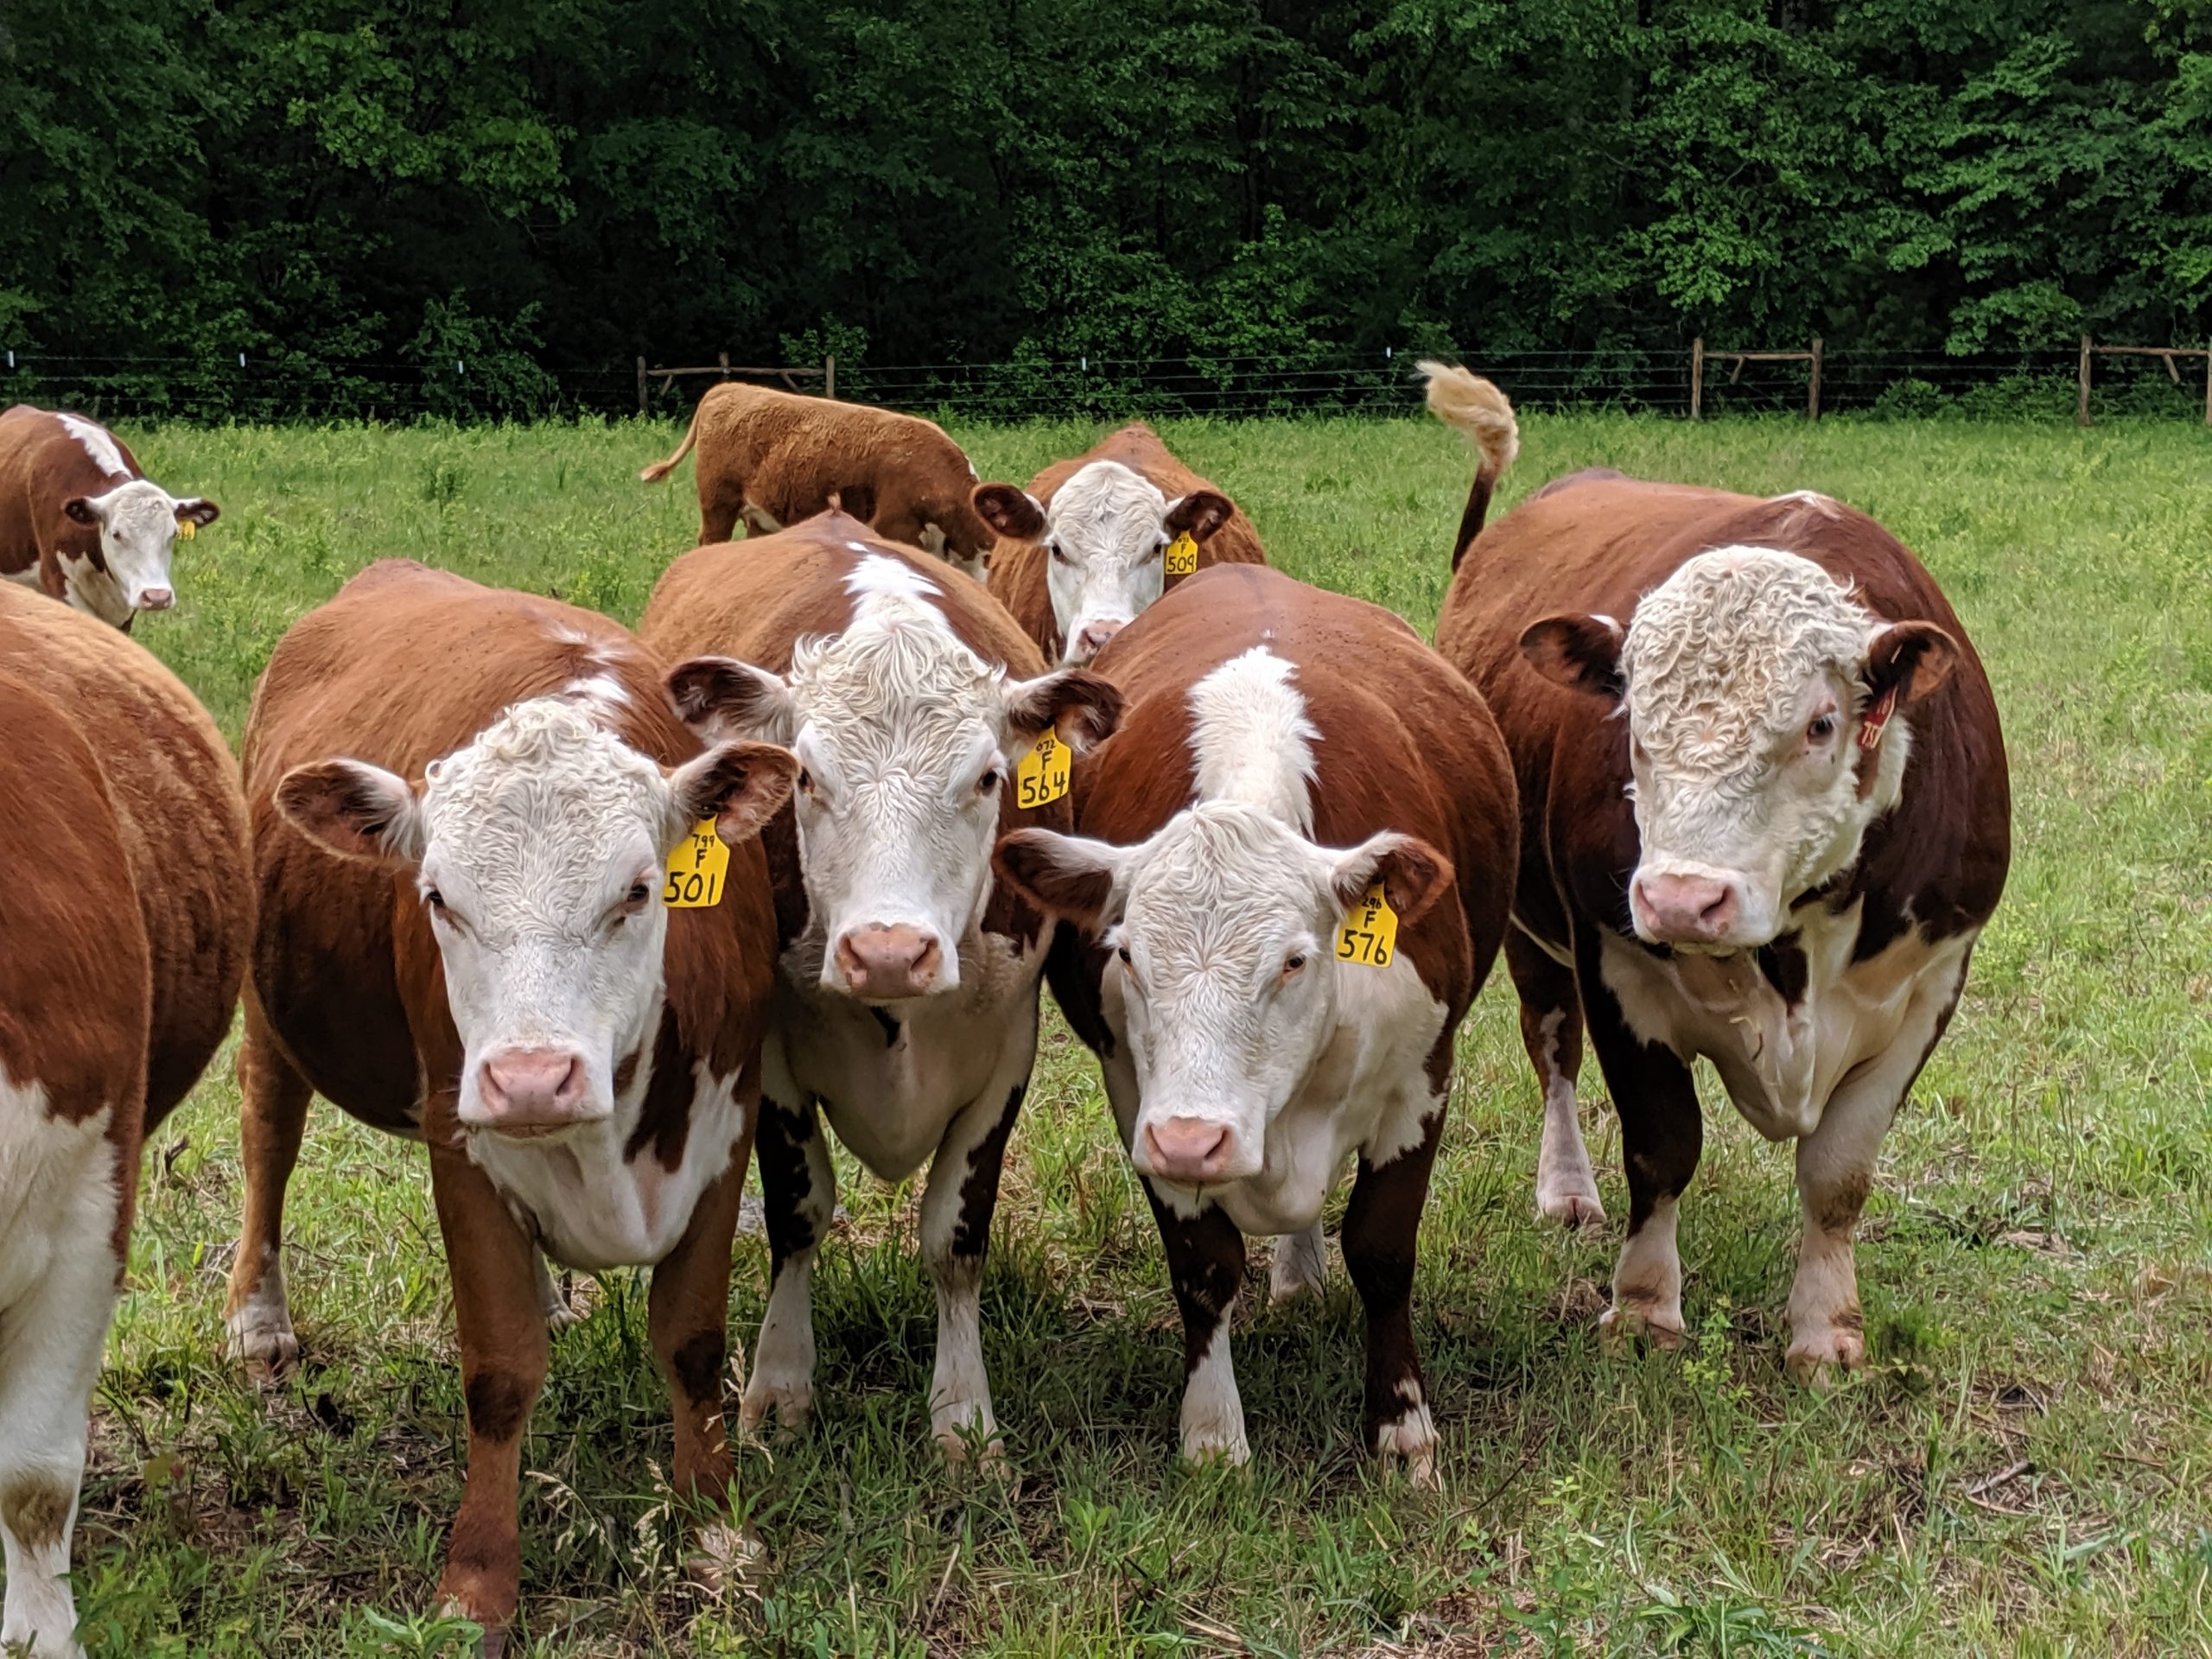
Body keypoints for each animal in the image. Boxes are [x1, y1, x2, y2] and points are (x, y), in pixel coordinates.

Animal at [219, 560, 795, 1644]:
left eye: (640, 890)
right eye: (438, 897)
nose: (531, 1076)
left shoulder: (725, 1123)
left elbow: (693, 1343)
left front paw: (715, 1527)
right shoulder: (461, 1138)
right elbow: (497, 1370)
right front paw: (479, 1581)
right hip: (271, 1009)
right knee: (269, 1138)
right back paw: (259, 1322)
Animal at [638, 512, 1121, 1461]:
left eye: (987, 778)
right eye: (807, 777)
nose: (889, 952)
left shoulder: (1007, 1048)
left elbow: (955, 1236)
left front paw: (963, 1415)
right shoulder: (771, 1054)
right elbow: (798, 1211)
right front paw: (779, 1388)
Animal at [991, 562, 1516, 1480]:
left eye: (1295, 961)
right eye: (1127, 955)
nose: (1194, 1141)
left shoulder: (1421, 1079)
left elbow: (1383, 1249)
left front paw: (1402, 1424)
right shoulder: (1141, 1097)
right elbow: (1204, 1266)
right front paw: (1212, 1433)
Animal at [1423, 362, 2011, 1381]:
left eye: (1820, 723)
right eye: (1631, 718)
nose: (1681, 899)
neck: (1794, 956)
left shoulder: (1931, 982)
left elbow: (1839, 1172)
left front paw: (1826, 1330)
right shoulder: (1612, 957)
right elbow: (1662, 1146)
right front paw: (1644, 1308)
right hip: (1530, 933)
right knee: (1552, 1047)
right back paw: (1566, 1188)